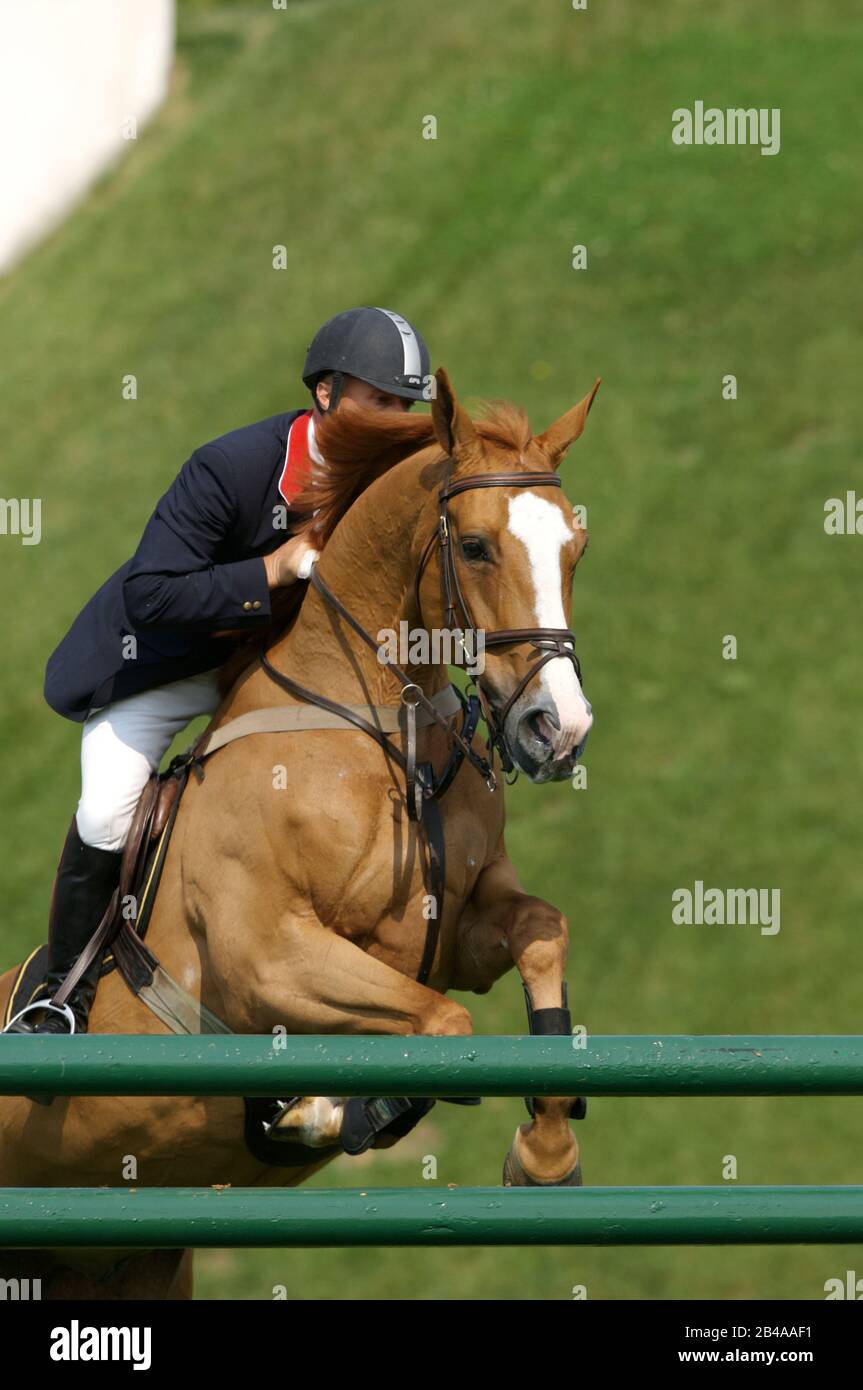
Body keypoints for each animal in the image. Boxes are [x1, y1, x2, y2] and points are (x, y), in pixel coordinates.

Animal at [0, 368, 599, 1298]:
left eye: (575, 549)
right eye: (473, 548)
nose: (556, 730)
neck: (380, 724)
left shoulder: (454, 931)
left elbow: (540, 932)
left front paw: (545, 1157)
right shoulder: (266, 961)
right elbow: (443, 1028)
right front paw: (326, 1111)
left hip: (125, 1262)